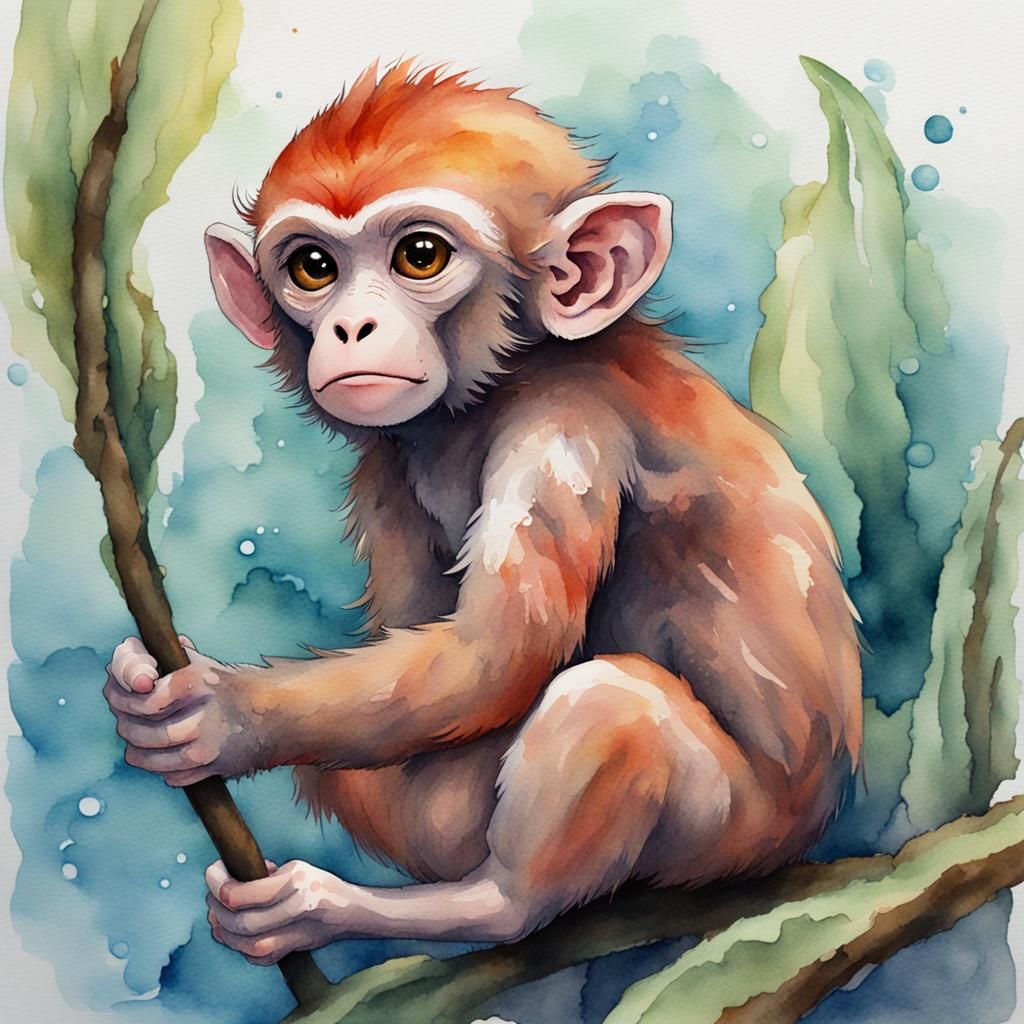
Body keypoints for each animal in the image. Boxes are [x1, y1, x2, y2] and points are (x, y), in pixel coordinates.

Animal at [103, 62, 862, 967]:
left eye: (420, 256)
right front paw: (148, 677)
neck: (503, 378)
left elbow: (499, 654)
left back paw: (482, 904)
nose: (352, 327)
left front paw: (222, 715)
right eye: (314, 268)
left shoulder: (564, 419)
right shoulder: (388, 468)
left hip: (733, 832)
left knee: (610, 704)